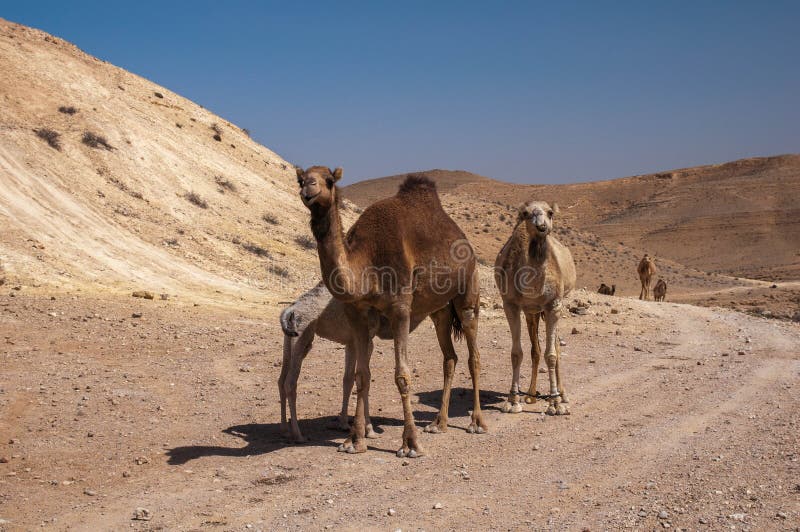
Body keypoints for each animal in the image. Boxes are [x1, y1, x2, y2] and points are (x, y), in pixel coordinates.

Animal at [297, 167, 486, 458]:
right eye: (301, 178)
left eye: (329, 180)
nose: (309, 189)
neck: (367, 262)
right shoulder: (357, 313)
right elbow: (361, 375)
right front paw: (354, 440)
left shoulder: (400, 309)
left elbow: (402, 376)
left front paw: (410, 444)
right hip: (440, 311)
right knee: (450, 357)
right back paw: (438, 423)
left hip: (467, 293)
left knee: (472, 355)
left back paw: (476, 422)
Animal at [494, 200, 576, 416]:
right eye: (525, 213)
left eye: (550, 213)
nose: (542, 226)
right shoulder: (511, 305)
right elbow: (517, 353)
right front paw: (513, 400)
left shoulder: (553, 304)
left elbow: (552, 354)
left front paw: (555, 403)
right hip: (532, 312)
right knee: (535, 349)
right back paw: (531, 395)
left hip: (553, 308)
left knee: (555, 347)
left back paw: (563, 395)